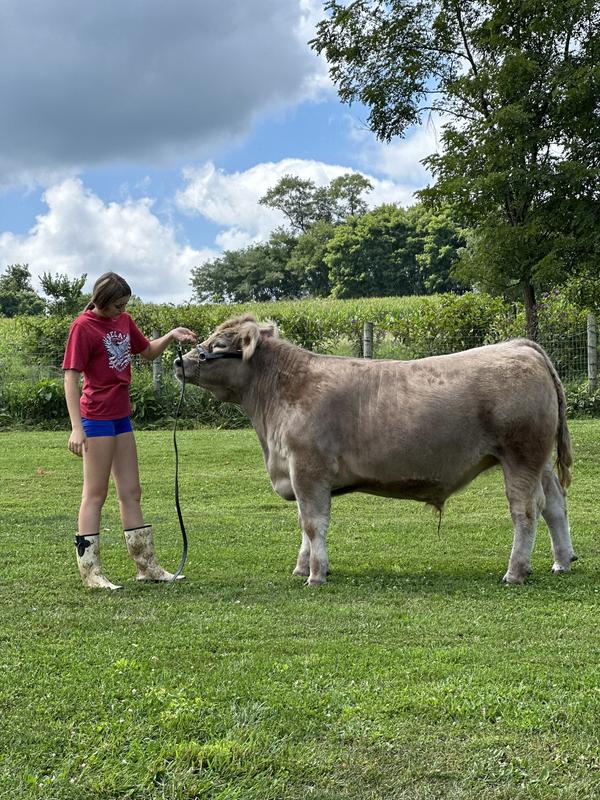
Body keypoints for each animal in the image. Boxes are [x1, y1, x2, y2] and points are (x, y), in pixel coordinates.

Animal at [175, 314, 575, 587]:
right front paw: (303, 567)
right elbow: (304, 525)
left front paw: (316, 574)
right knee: (555, 503)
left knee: (526, 510)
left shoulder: (308, 469)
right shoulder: (298, 473)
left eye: (219, 345)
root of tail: (520, 345)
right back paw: (562, 561)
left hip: (521, 455)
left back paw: (516, 571)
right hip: (539, 461)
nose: (180, 362)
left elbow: (313, 523)